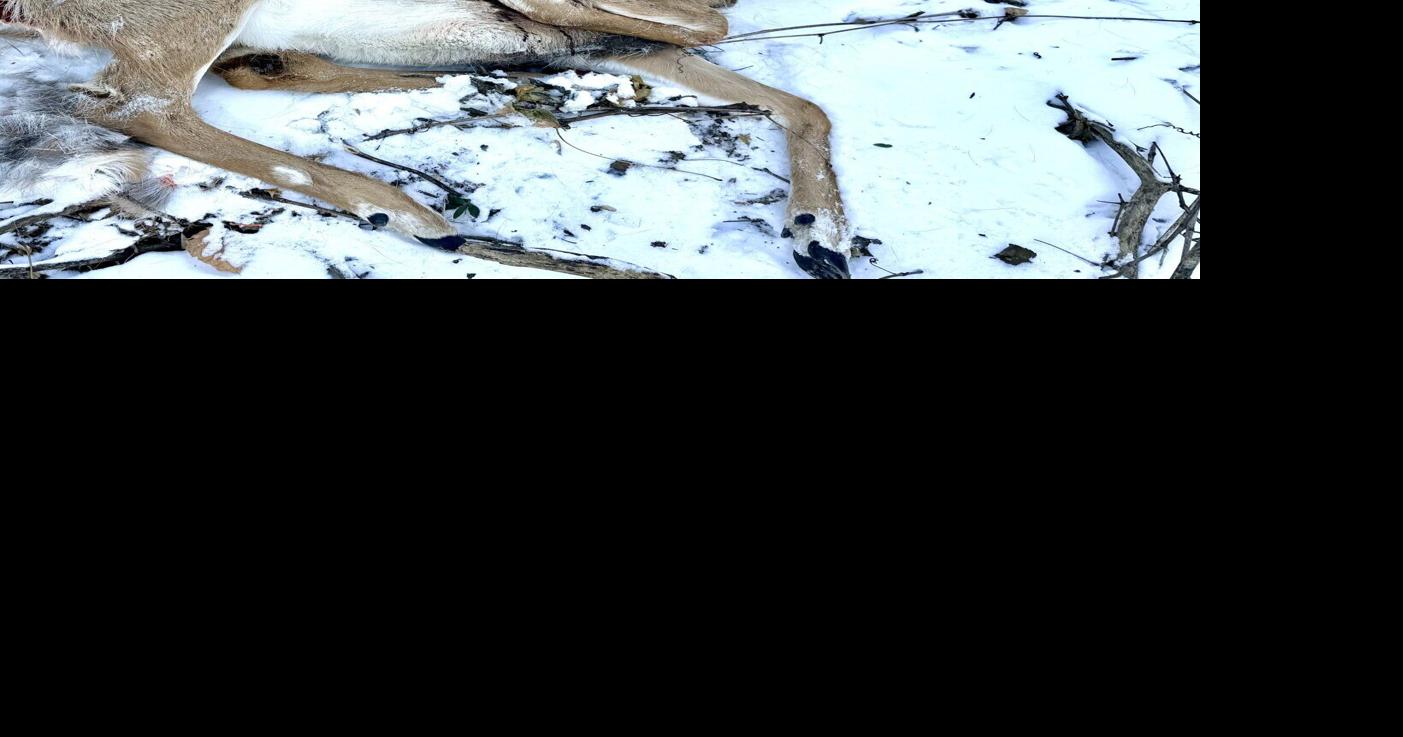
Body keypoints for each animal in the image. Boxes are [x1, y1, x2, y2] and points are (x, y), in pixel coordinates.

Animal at [0, 0, 854, 278]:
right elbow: (708, 23)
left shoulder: (616, 42)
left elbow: (804, 104)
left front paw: (822, 233)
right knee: (138, 104)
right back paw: (409, 212)